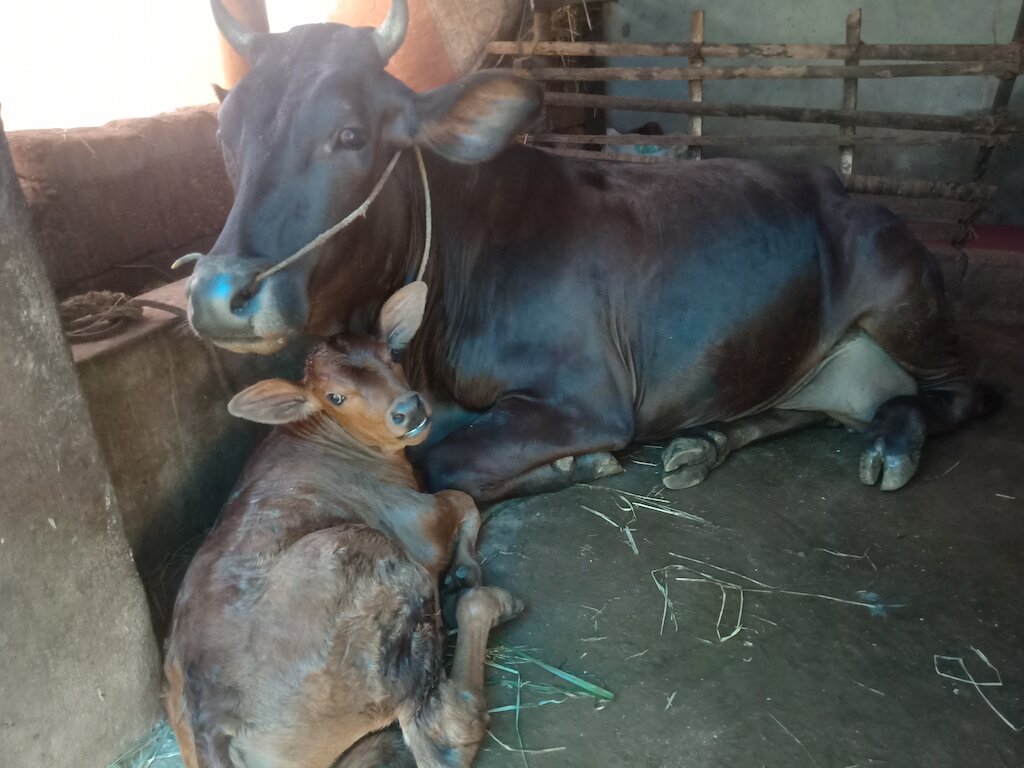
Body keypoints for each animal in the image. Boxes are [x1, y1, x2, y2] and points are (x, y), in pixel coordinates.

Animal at [164, 282, 524, 768]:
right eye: (335, 397)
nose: (409, 409)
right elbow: (462, 500)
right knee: (445, 733)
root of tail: (210, 724)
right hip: (371, 558)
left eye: (391, 354)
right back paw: (488, 602)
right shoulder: (417, 522)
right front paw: (464, 569)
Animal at [183, 0, 995, 503]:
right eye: (224, 133)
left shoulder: (588, 397)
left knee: (961, 394)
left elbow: (439, 462)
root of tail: (836, 184)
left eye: (350, 134)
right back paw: (707, 441)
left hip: (901, 292)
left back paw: (892, 444)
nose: (220, 299)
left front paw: (576, 463)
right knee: (805, 408)